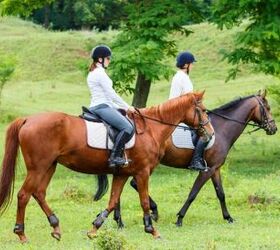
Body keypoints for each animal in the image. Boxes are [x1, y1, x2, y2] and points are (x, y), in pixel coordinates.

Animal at [0, 91, 213, 241]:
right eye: (203, 110)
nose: (210, 133)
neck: (151, 130)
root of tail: (28, 119)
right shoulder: (142, 172)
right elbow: (144, 201)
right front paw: (152, 230)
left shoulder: (122, 174)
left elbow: (112, 201)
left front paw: (95, 228)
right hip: (38, 167)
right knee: (24, 195)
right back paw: (21, 233)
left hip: (49, 166)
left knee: (39, 193)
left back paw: (56, 227)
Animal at [95, 90, 276, 229]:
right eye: (267, 108)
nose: (273, 128)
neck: (221, 129)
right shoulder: (207, 170)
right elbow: (193, 193)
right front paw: (180, 218)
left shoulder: (215, 168)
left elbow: (221, 194)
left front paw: (228, 218)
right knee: (132, 184)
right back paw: (138, 215)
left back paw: (119, 220)